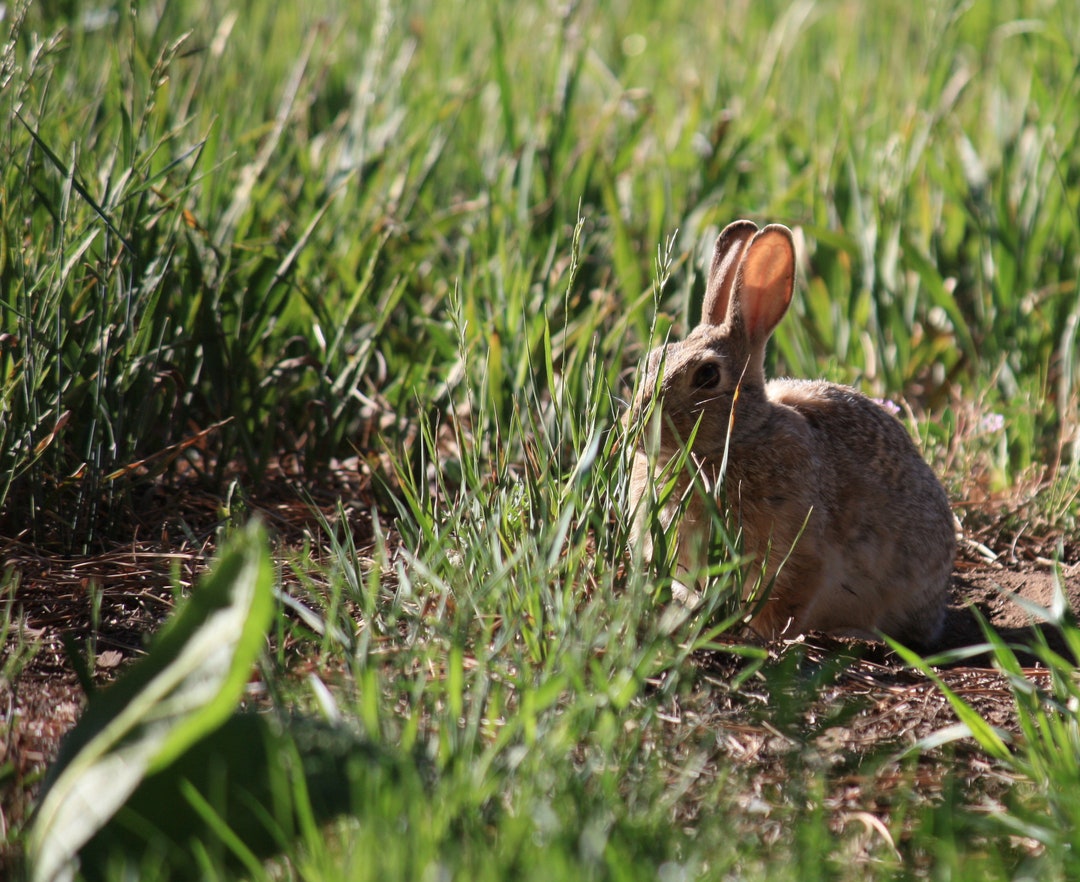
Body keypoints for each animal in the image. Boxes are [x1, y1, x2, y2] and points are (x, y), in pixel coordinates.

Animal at [625, 220, 954, 648]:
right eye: (649, 362)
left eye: (708, 375)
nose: (637, 431)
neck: (739, 437)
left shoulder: (799, 549)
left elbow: (784, 598)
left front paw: (756, 635)